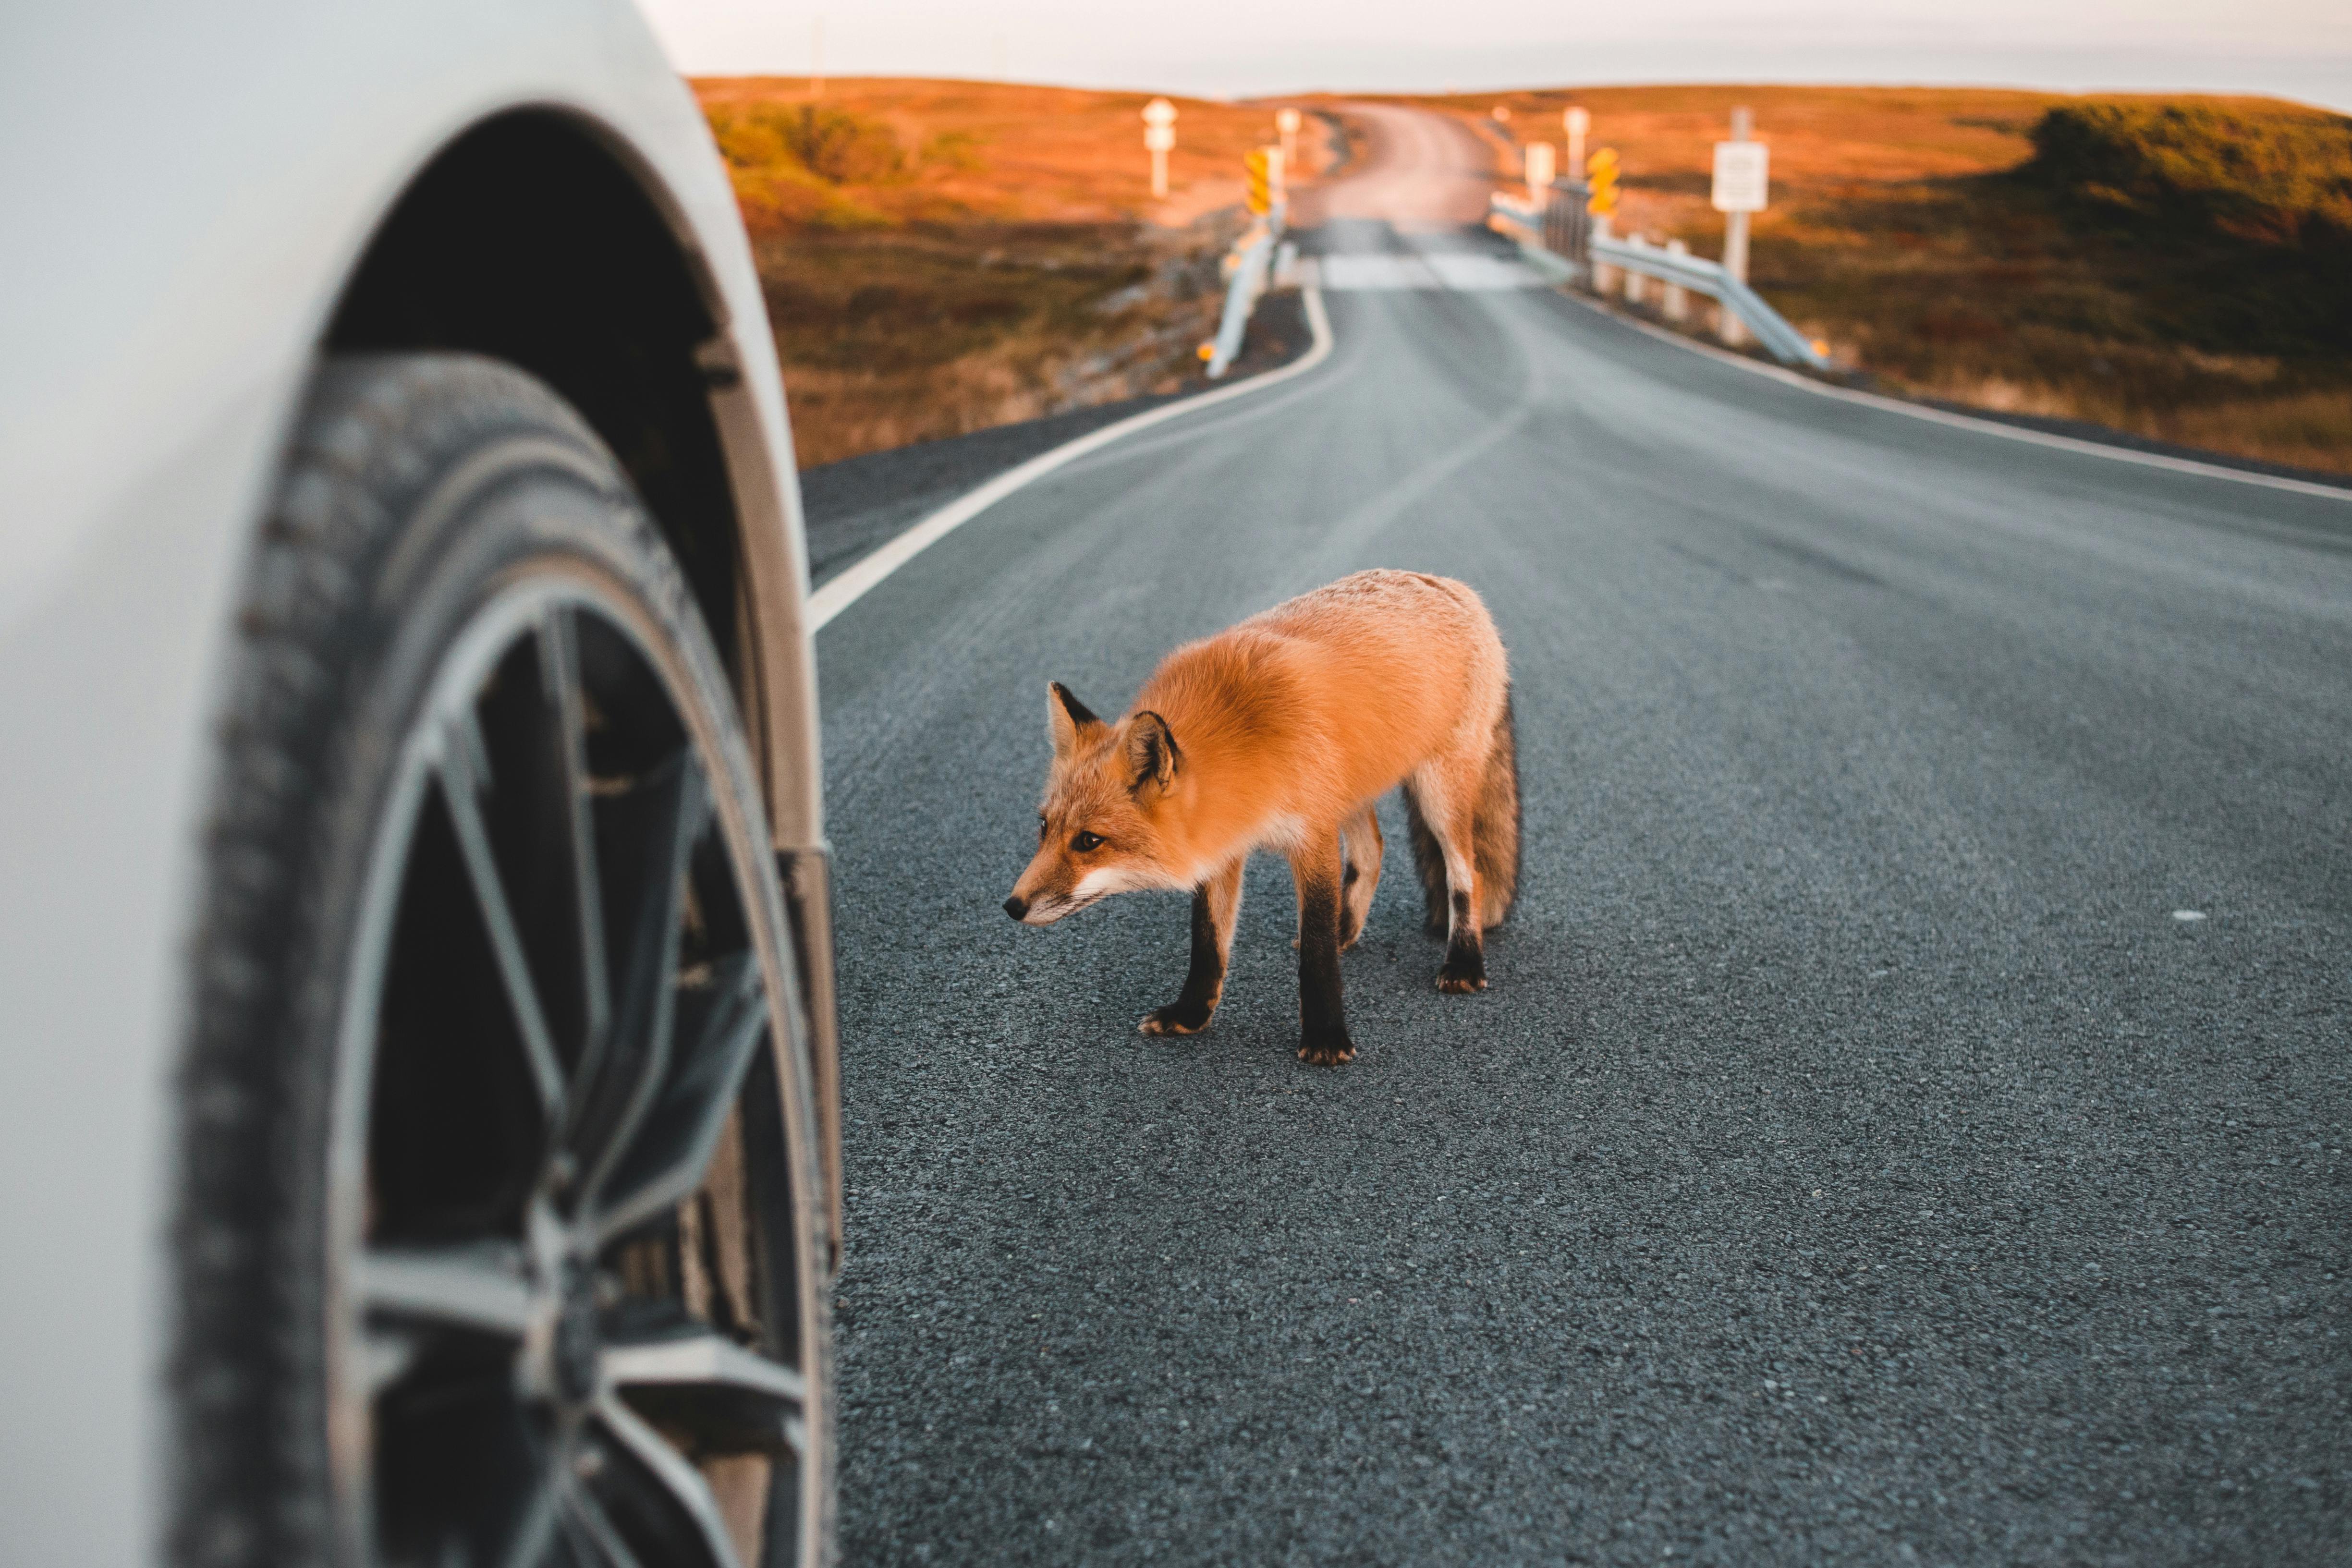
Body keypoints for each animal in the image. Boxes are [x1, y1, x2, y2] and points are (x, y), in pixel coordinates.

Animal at [1002, 569, 1519, 1065]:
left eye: (1089, 841)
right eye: (1045, 829)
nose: (1012, 906)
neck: (1246, 744)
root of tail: (1447, 584)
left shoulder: (1311, 836)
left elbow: (1314, 952)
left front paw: (1325, 1037)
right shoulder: (1221, 847)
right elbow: (1208, 944)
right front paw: (1190, 1014)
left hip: (1438, 791)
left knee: (1465, 872)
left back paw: (1464, 962)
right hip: (1351, 792)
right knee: (1373, 851)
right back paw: (1347, 932)